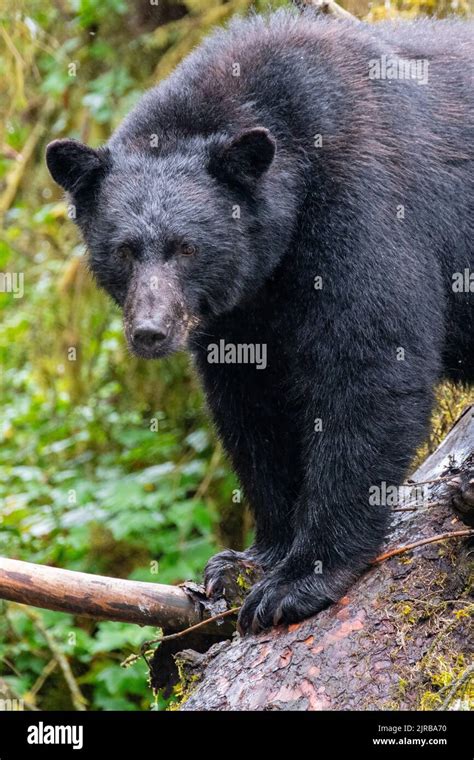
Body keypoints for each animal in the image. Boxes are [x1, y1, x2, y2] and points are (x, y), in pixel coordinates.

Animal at [46, 10, 474, 634]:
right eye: (124, 250)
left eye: (187, 247)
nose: (150, 332)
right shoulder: (241, 310)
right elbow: (251, 403)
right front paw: (250, 558)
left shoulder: (366, 204)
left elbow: (368, 364)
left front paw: (299, 580)